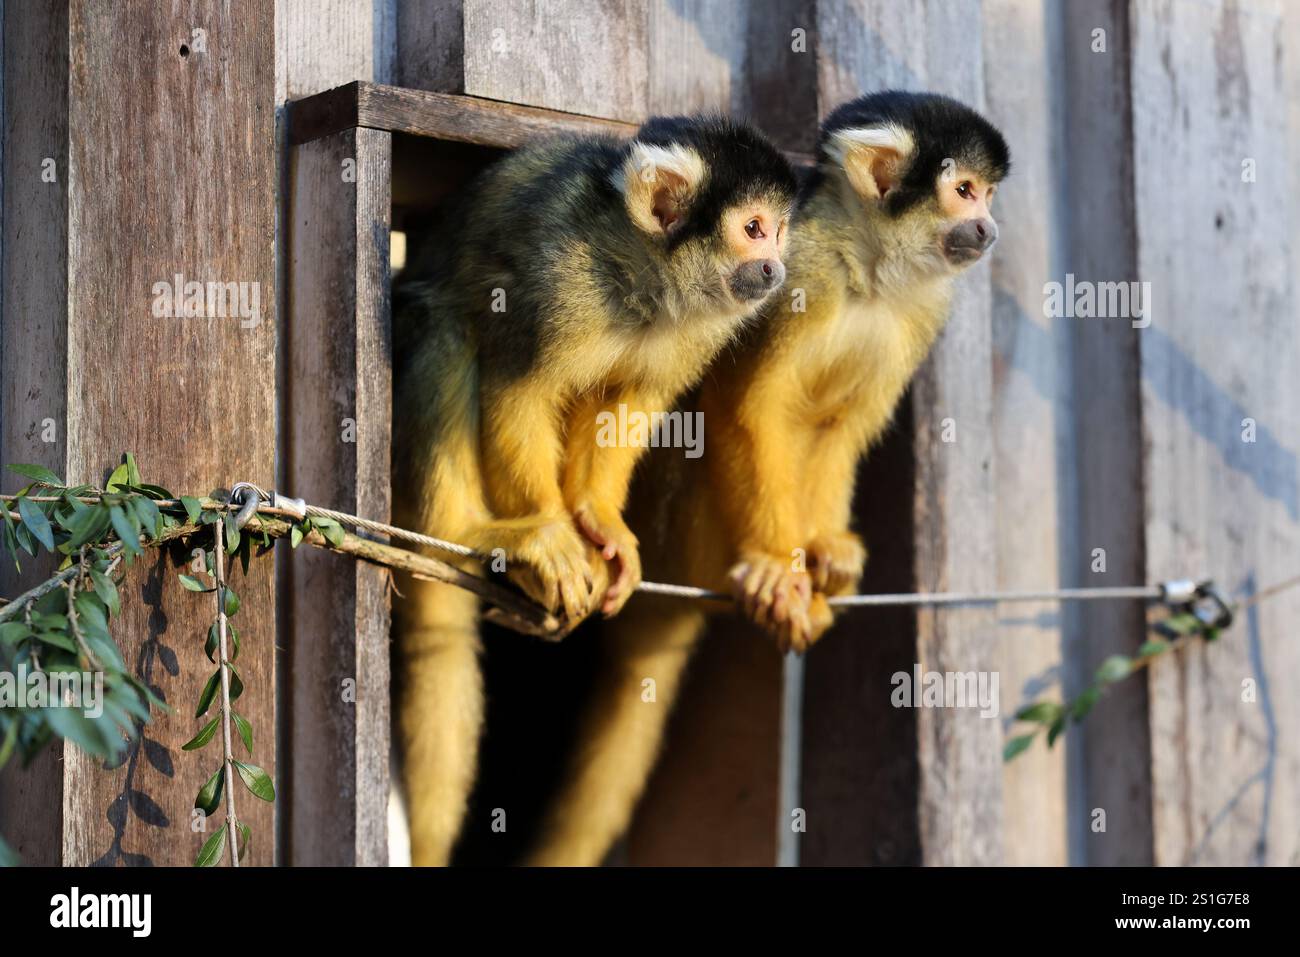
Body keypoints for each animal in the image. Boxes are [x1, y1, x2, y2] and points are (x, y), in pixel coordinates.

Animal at [392, 115, 798, 866]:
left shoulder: (694, 329)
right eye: (754, 229)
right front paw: (550, 533)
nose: (777, 267)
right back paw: (467, 530)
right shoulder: (557, 278)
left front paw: (599, 523)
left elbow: (624, 402)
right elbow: (518, 383)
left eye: (781, 231)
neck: (644, 275)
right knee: (445, 326)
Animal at [525, 91, 1009, 866]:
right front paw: (781, 564)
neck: (866, 270)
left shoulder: (918, 308)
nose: (989, 226)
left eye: (987, 193)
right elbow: (747, 408)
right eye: (964, 191)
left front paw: (826, 550)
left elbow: (841, 427)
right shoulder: (800, 271)